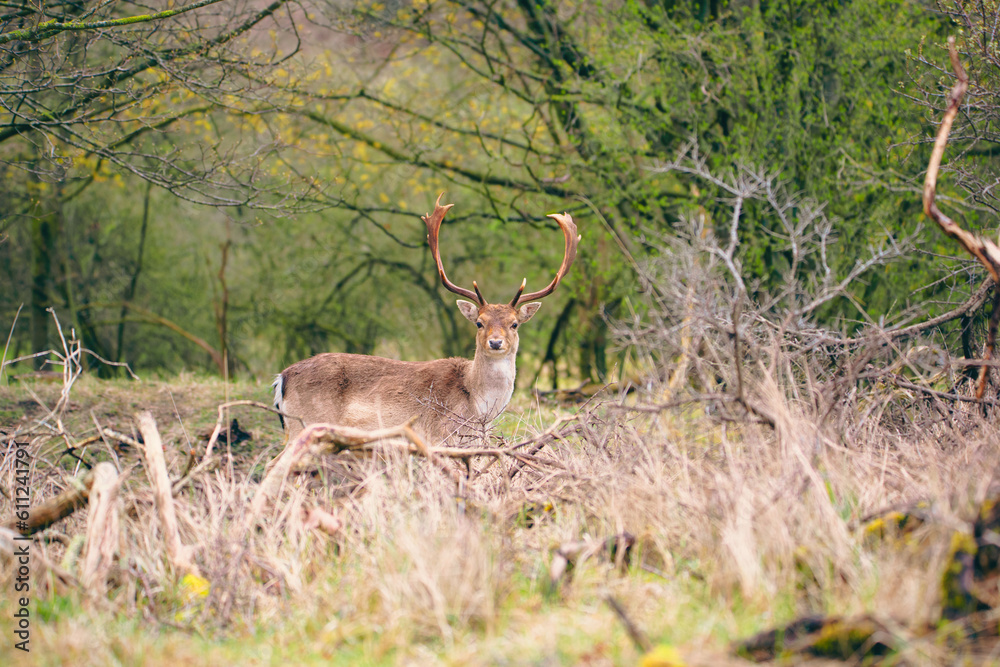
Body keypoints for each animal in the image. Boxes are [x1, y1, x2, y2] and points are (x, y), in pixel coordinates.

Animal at [272, 195, 580, 444]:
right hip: (306, 422)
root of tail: (281, 378)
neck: (477, 407)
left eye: (514, 324)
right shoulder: (438, 433)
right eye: (479, 322)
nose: (495, 342)